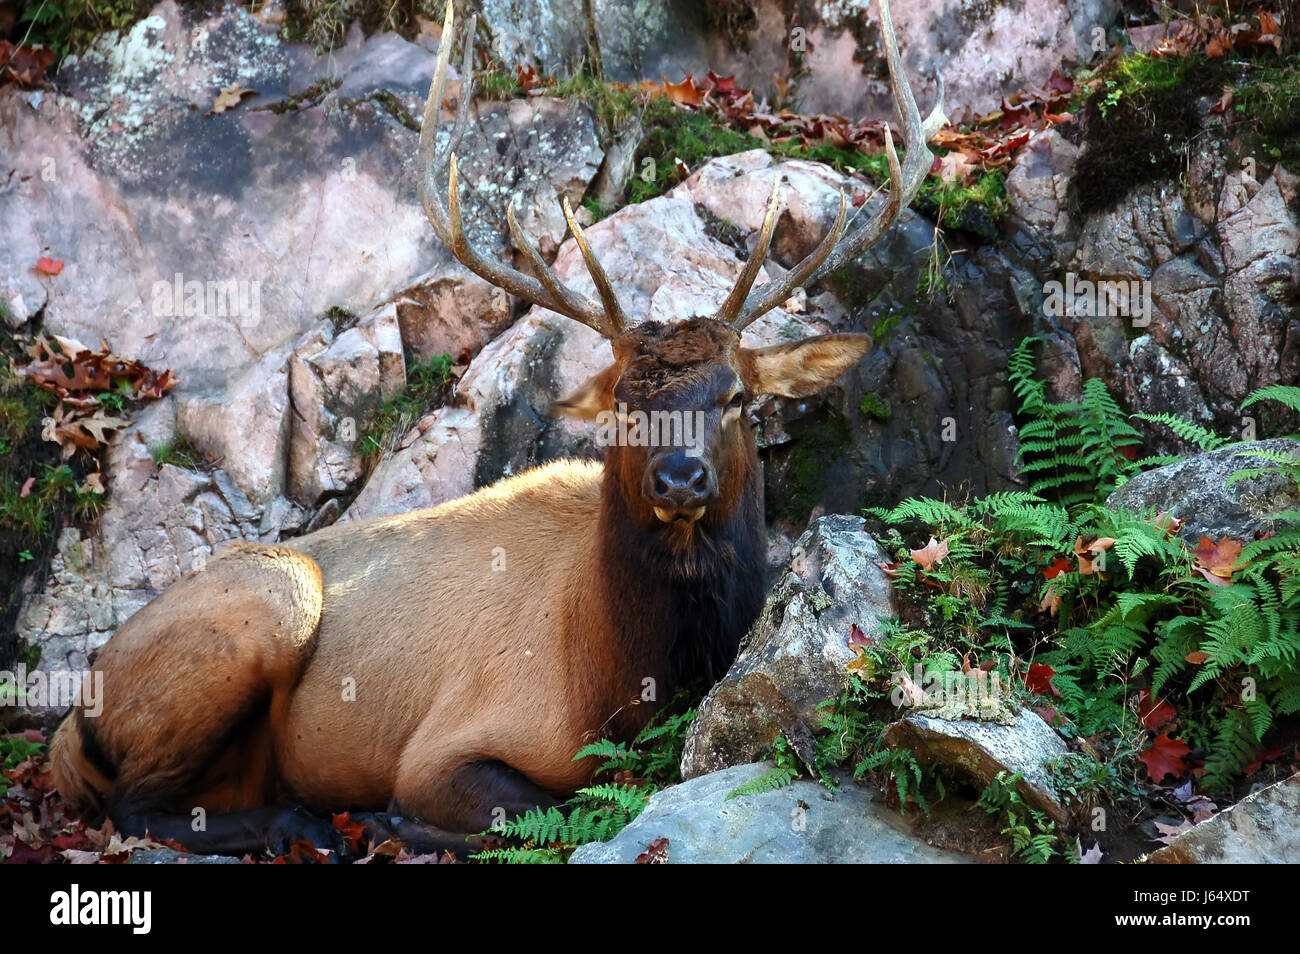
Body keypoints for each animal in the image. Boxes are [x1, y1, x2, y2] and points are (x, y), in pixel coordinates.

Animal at [48, 0, 943, 858]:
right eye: (623, 399)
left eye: (735, 395)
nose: (680, 476)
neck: (621, 672)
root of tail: (72, 715)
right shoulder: (441, 747)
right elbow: (551, 806)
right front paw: (391, 820)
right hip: (273, 603)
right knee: (137, 805)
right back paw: (306, 825)